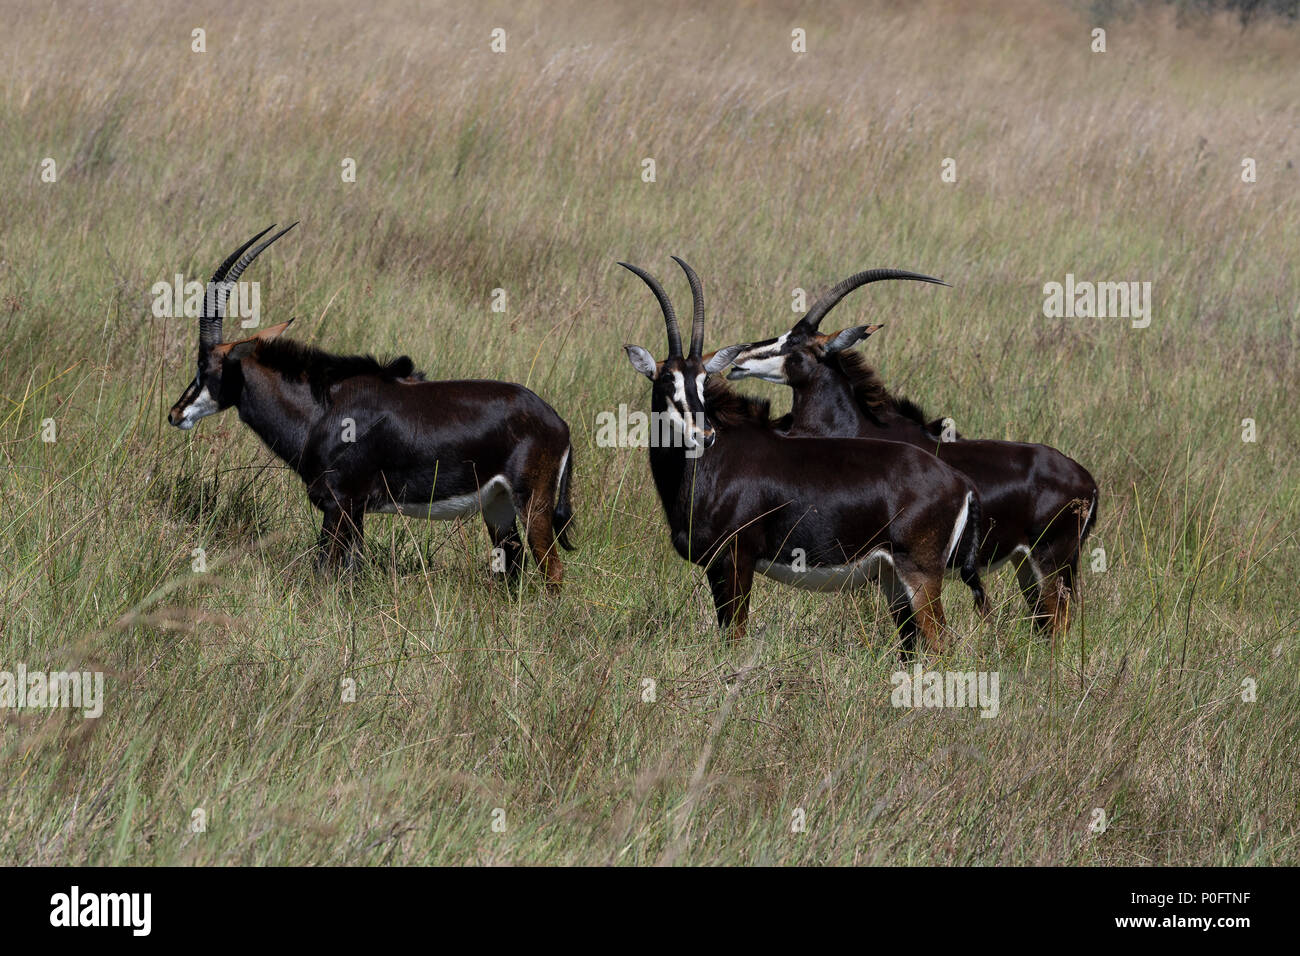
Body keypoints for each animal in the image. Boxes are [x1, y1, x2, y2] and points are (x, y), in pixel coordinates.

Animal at [168, 225, 575, 587]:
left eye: (204, 366)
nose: (175, 414)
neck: (322, 410)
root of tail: (559, 424)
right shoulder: (355, 512)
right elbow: (349, 573)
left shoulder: (339, 506)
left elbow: (323, 572)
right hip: (498, 506)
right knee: (514, 565)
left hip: (532, 502)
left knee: (551, 570)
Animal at [620, 258, 985, 656]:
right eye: (666, 381)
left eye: (703, 381)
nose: (705, 434)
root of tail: (961, 483)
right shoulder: (717, 568)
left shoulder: (735, 561)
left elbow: (734, 638)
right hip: (892, 578)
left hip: (920, 573)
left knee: (940, 642)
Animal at [721, 268, 1099, 634]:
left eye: (794, 344)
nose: (739, 357)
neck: (857, 425)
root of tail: (1088, 482)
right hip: (1025, 563)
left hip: (1050, 561)